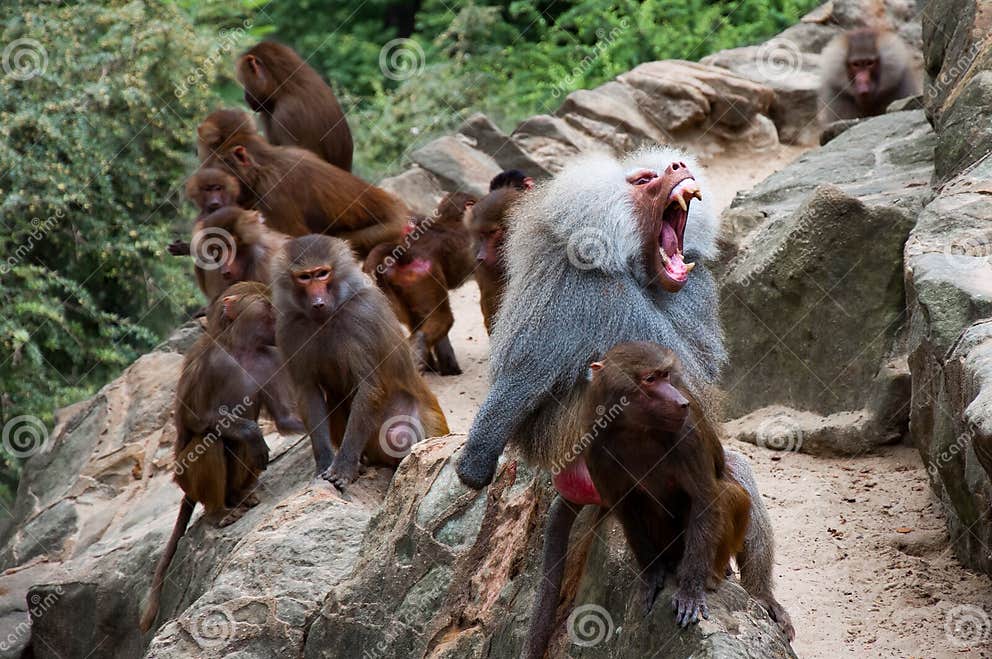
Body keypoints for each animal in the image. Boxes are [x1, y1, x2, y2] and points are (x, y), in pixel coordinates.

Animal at [139, 282, 304, 633]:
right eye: (267, 305)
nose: (280, 318)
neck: (240, 349)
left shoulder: (271, 359)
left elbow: (285, 418)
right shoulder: (209, 363)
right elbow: (196, 420)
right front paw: (252, 433)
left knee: (238, 448)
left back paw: (241, 495)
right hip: (184, 477)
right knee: (211, 441)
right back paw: (220, 512)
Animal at [271, 234, 450, 490]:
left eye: (322, 273)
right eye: (304, 277)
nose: (318, 303)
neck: (328, 317)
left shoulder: (363, 317)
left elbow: (370, 387)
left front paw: (343, 468)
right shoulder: (289, 327)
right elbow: (308, 391)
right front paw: (324, 463)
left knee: (399, 433)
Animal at [522, 342, 793, 658]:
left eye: (665, 375)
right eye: (650, 379)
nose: (681, 402)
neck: (636, 429)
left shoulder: (687, 435)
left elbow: (706, 498)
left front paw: (690, 591)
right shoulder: (596, 444)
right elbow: (626, 504)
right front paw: (652, 575)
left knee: (730, 488)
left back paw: (749, 591)